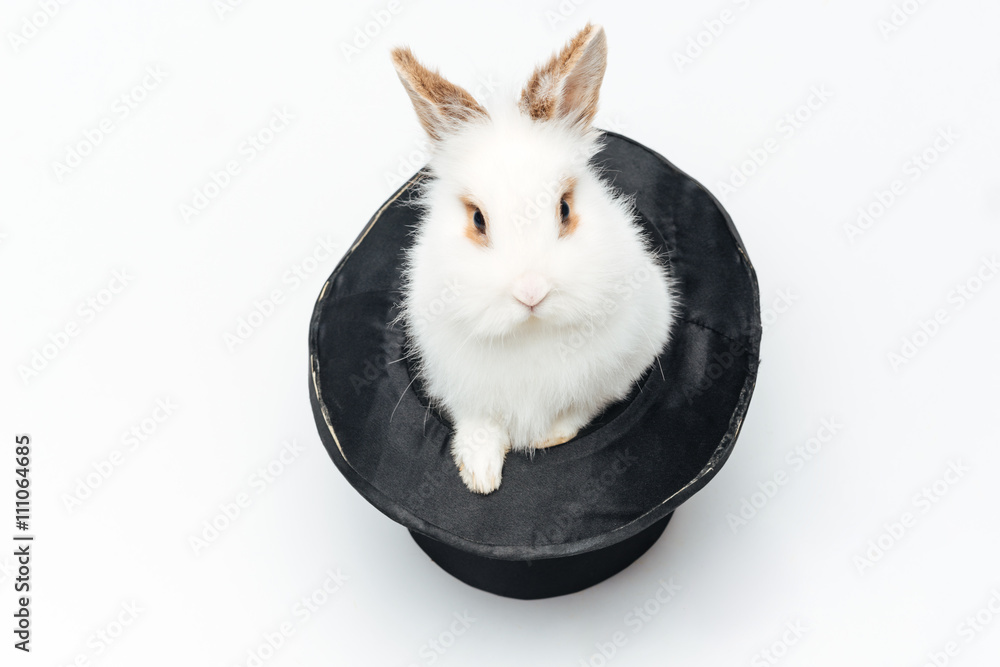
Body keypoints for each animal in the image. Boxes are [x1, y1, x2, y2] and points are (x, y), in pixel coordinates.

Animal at [391, 23, 676, 494]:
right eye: (478, 219)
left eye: (564, 208)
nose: (531, 293)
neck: (530, 333)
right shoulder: (459, 385)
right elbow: (479, 425)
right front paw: (480, 477)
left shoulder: (617, 371)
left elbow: (579, 410)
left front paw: (546, 439)